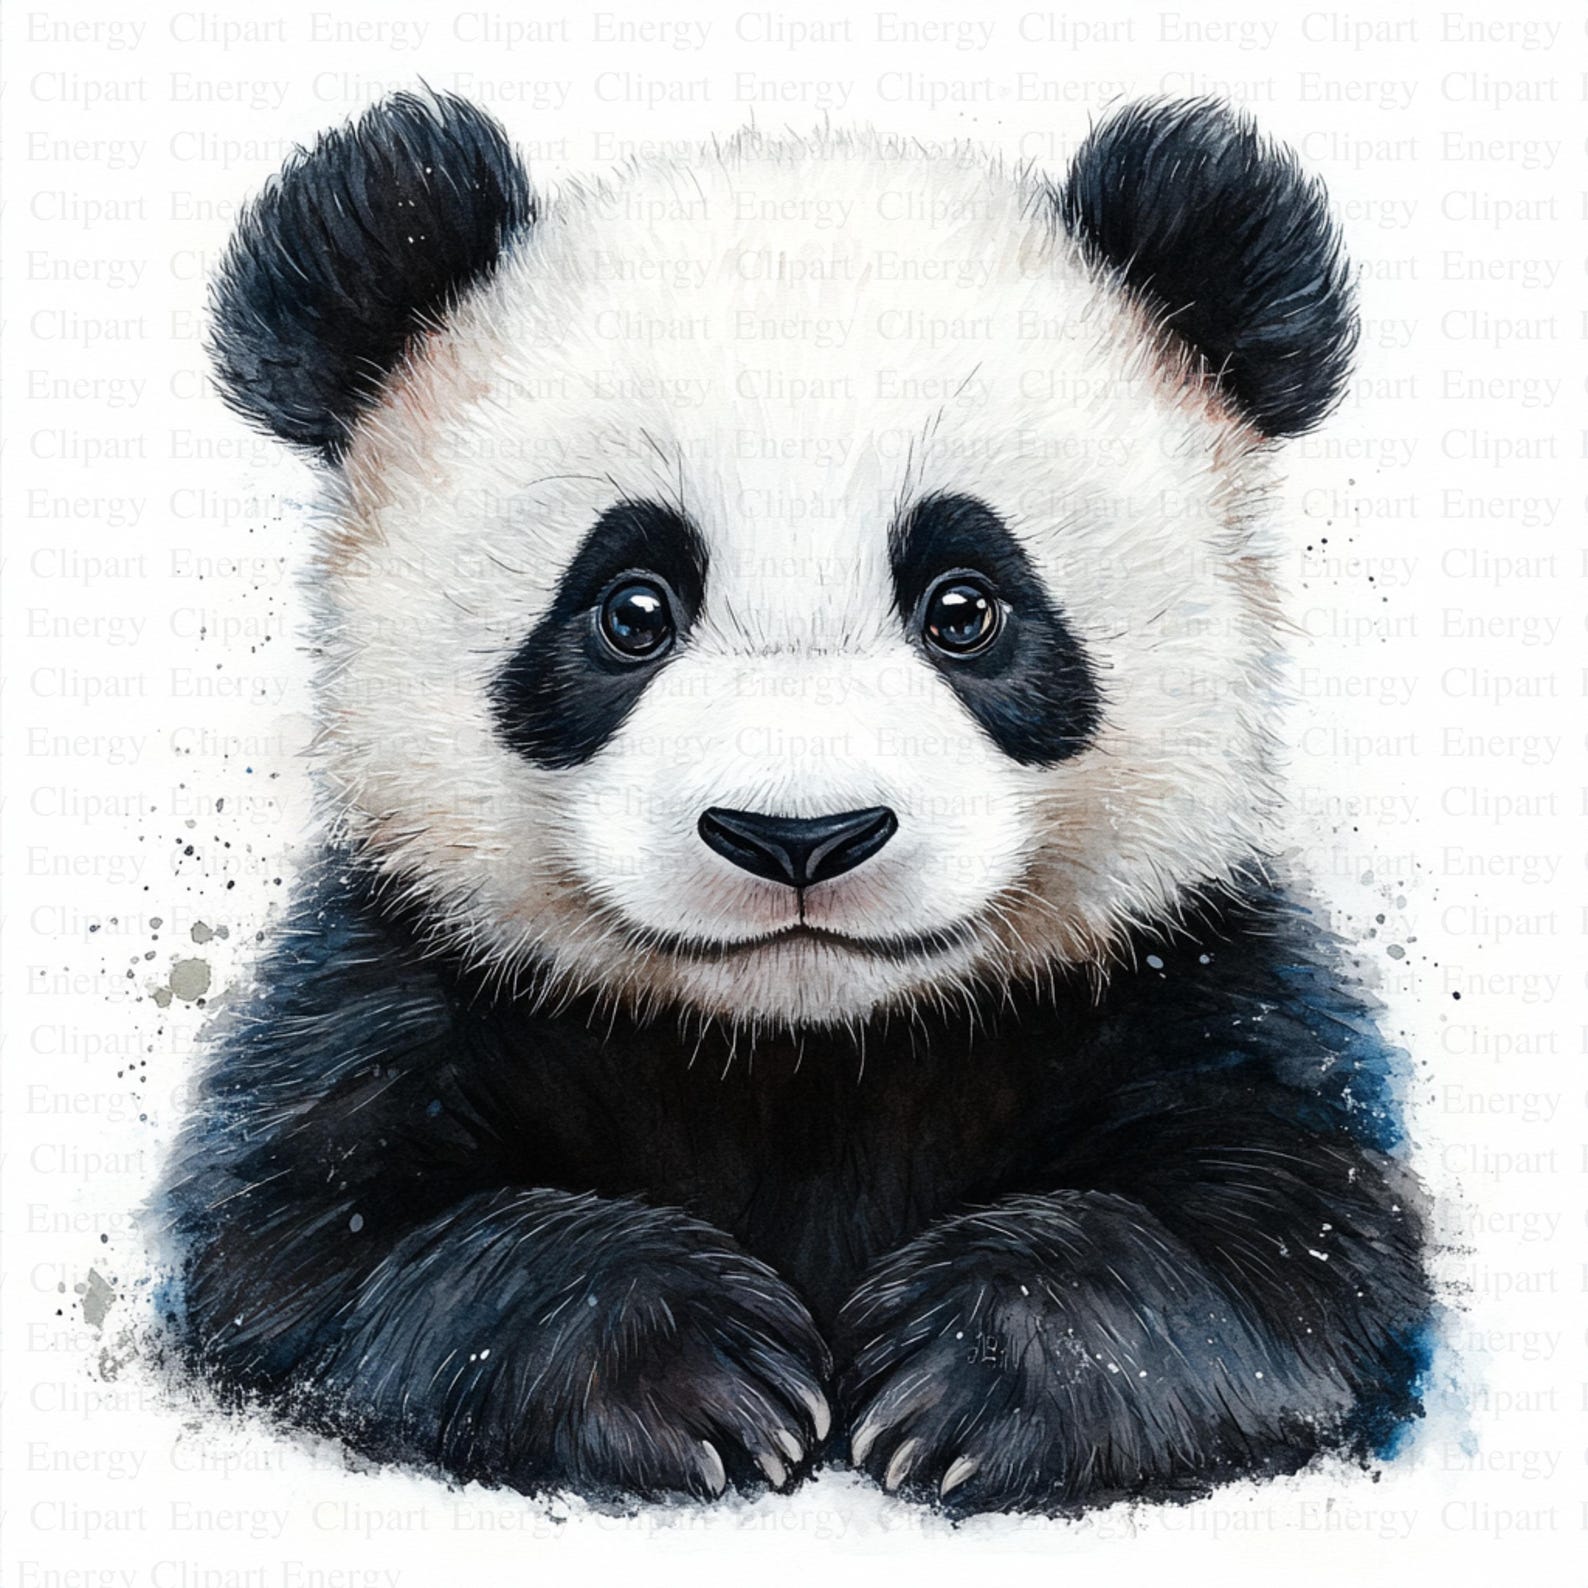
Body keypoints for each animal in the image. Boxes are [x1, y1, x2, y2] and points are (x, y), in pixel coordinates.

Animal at [161, 89, 1431, 1515]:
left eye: (966, 606)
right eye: (630, 609)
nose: (799, 836)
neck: (805, 1047)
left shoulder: (1188, 974)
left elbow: (1293, 1259)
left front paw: (958, 1377)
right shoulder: (397, 983)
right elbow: (316, 1253)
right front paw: (700, 1373)